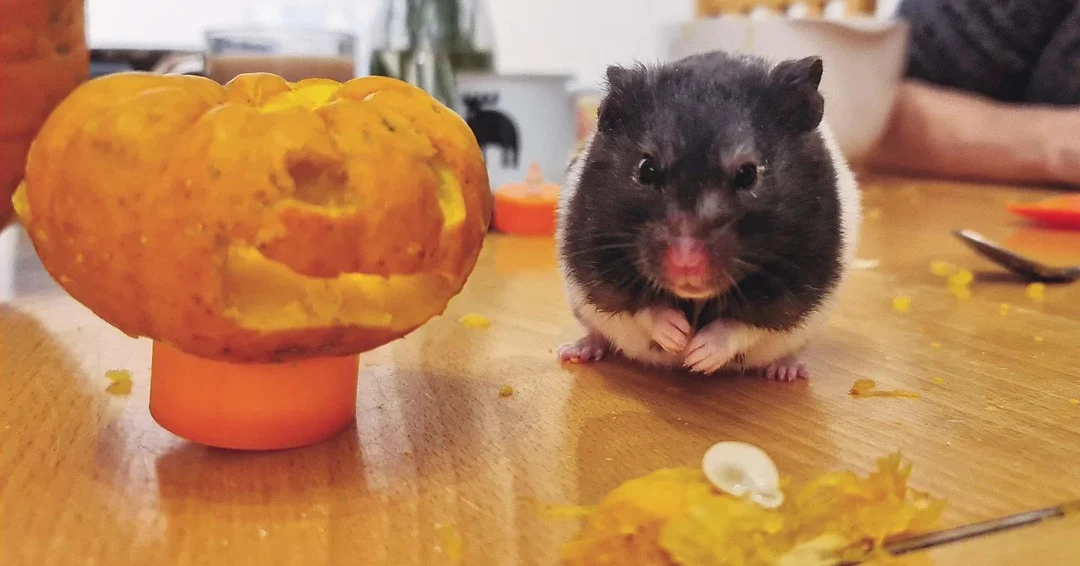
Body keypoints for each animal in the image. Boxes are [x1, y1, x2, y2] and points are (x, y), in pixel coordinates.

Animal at [555, 50, 861, 381]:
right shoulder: (598, 262)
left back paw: (787, 372)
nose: (686, 264)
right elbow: (641, 308)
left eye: (748, 174)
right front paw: (677, 338)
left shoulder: (797, 282)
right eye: (646, 169)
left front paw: (697, 357)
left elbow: (742, 325)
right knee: (597, 332)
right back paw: (574, 351)